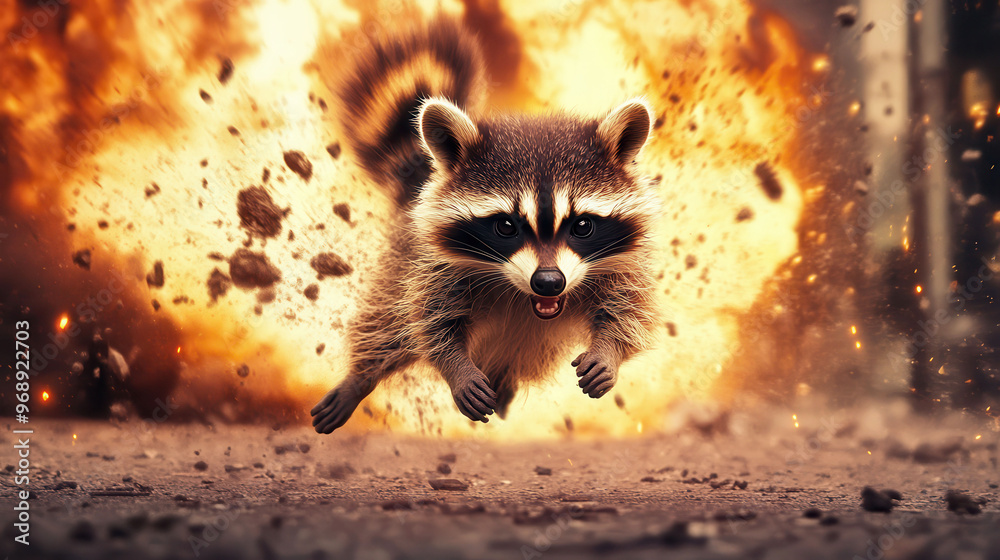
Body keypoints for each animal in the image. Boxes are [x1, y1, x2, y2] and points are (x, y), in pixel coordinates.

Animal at [311, 17, 660, 433]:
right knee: (387, 320)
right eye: (506, 226)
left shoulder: (622, 263)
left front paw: (608, 351)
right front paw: (455, 366)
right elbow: (428, 319)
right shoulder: (431, 264)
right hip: (399, 260)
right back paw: (361, 375)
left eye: (583, 226)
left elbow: (629, 309)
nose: (549, 282)